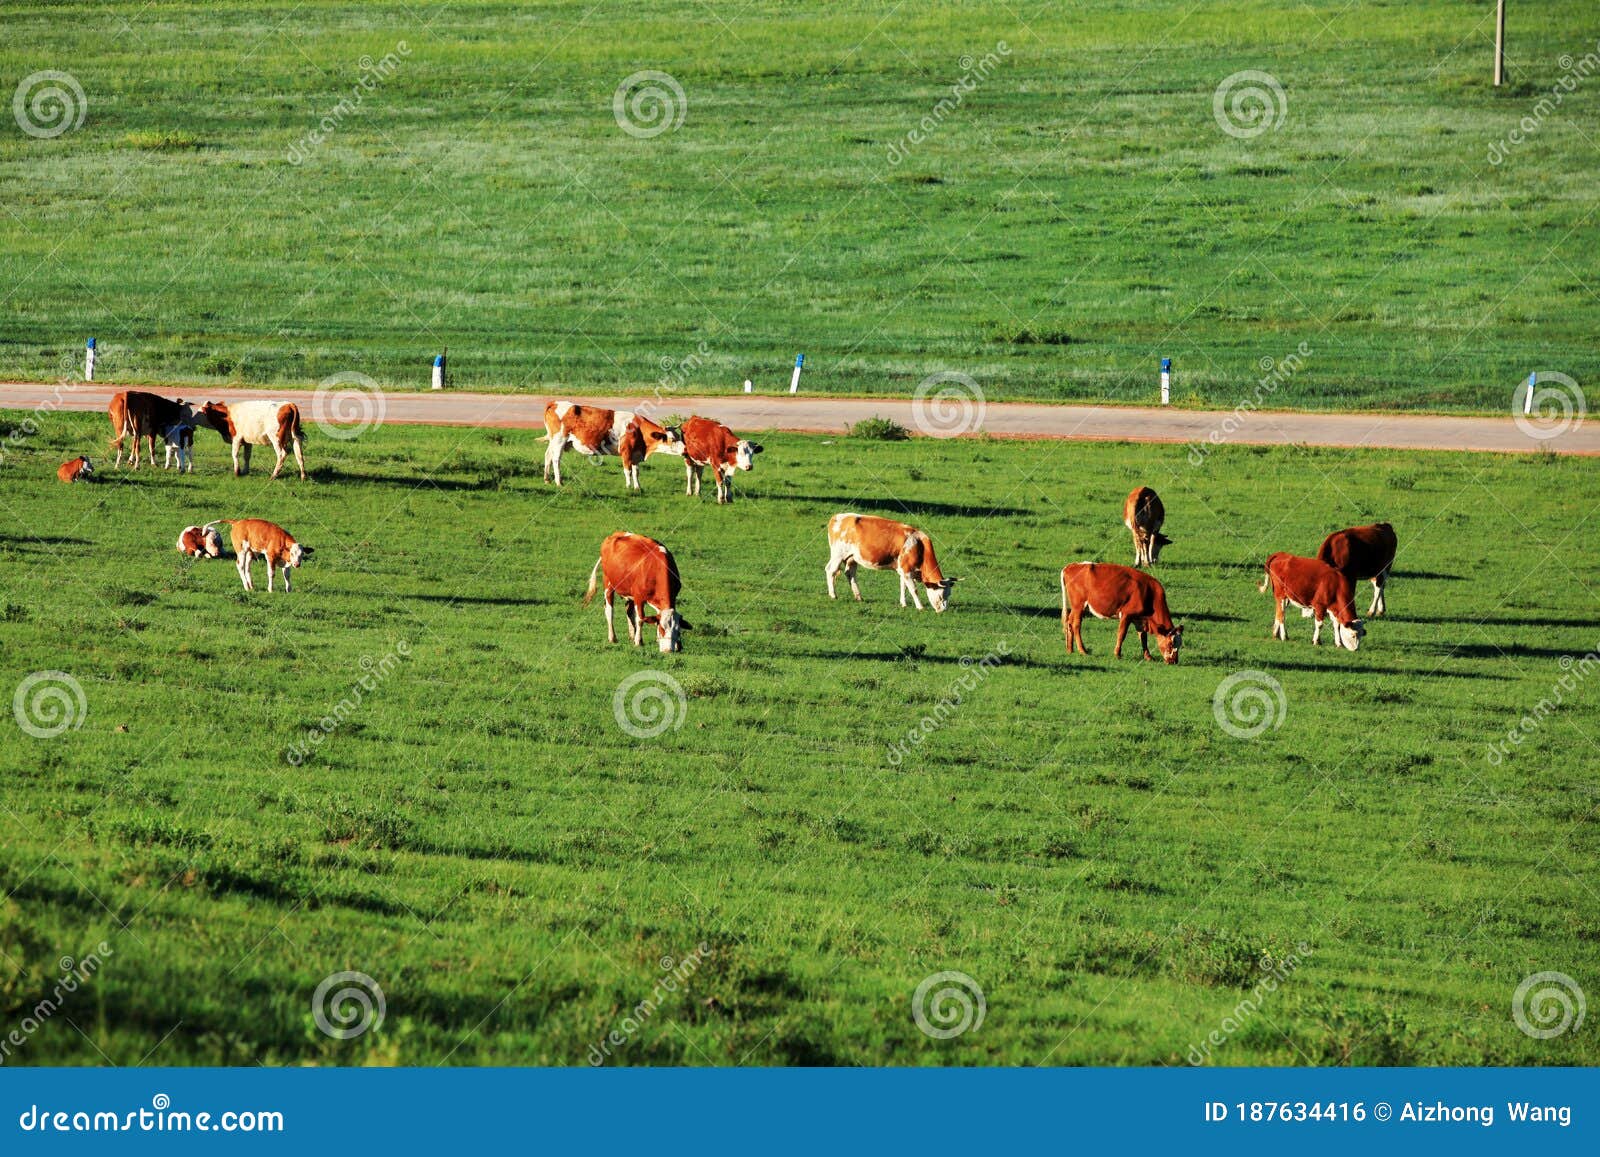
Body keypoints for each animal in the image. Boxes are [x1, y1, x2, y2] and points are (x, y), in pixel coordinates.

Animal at [542, 402, 682, 489]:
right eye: (672, 439)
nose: (685, 449)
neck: (638, 429)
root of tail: (555, 403)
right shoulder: (626, 451)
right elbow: (628, 470)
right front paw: (628, 486)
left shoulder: (635, 454)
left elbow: (636, 472)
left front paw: (638, 487)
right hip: (560, 440)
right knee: (556, 459)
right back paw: (559, 482)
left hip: (553, 441)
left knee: (548, 456)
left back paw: (547, 479)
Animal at [824, 513, 957, 612]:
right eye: (941, 595)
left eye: (949, 595)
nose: (943, 610)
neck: (919, 545)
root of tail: (837, 516)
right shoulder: (906, 570)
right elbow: (913, 589)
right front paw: (920, 607)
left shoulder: (904, 570)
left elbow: (903, 586)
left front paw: (903, 604)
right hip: (838, 554)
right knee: (831, 570)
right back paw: (833, 595)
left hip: (852, 558)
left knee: (850, 573)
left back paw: (858, 597)